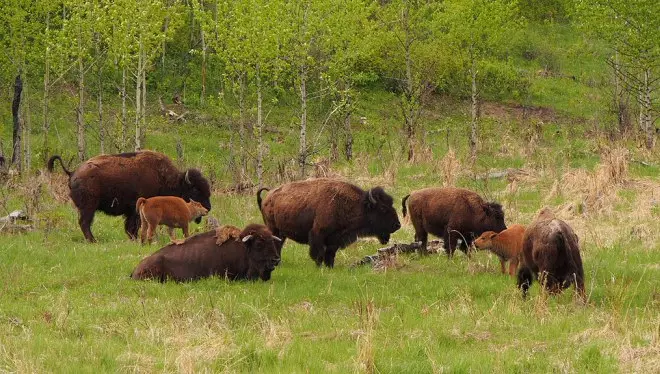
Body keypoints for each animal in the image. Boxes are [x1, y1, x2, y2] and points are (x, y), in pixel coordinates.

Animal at [46, 151, 210, 243]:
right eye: (195, 190)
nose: (208, 208)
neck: (165, 178)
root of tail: (72, 172)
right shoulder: (135, 211)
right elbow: (133, 227)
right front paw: (135, 239)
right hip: (89, 207)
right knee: (85, 223)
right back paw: (93, 241)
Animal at [258, 178, 402, 268]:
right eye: (383, 208)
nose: (397, 225)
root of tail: (268, 196)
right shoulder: (318, 234)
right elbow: (318, 254)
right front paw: (319, 267)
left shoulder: (335, 239)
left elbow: (330, 254)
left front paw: (330, 267)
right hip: (273, 229)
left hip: (281, 233)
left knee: (278, 246)